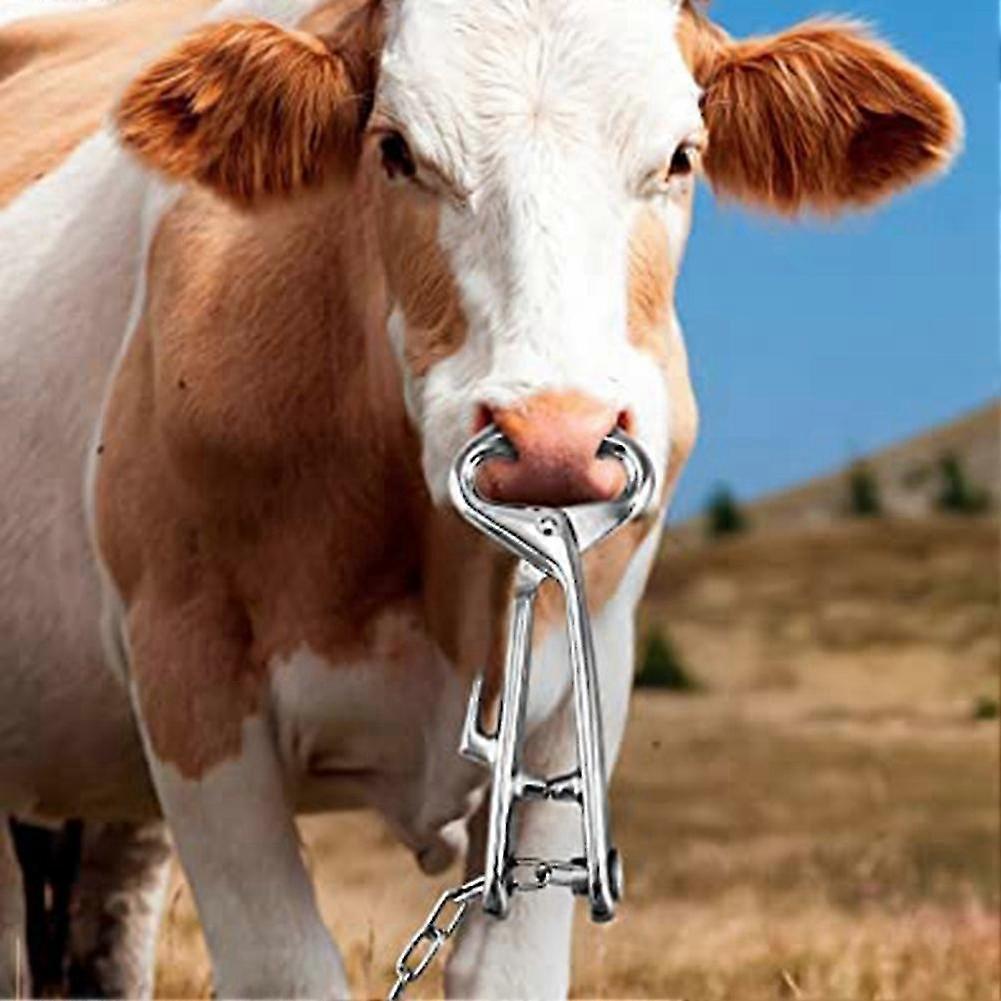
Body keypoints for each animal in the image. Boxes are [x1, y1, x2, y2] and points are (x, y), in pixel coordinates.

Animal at [0, 0, 959, 996]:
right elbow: (288, 967)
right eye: (394, 148)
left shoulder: (585, 686)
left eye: (679, 155)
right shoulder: (191, 670)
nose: (554, 438)